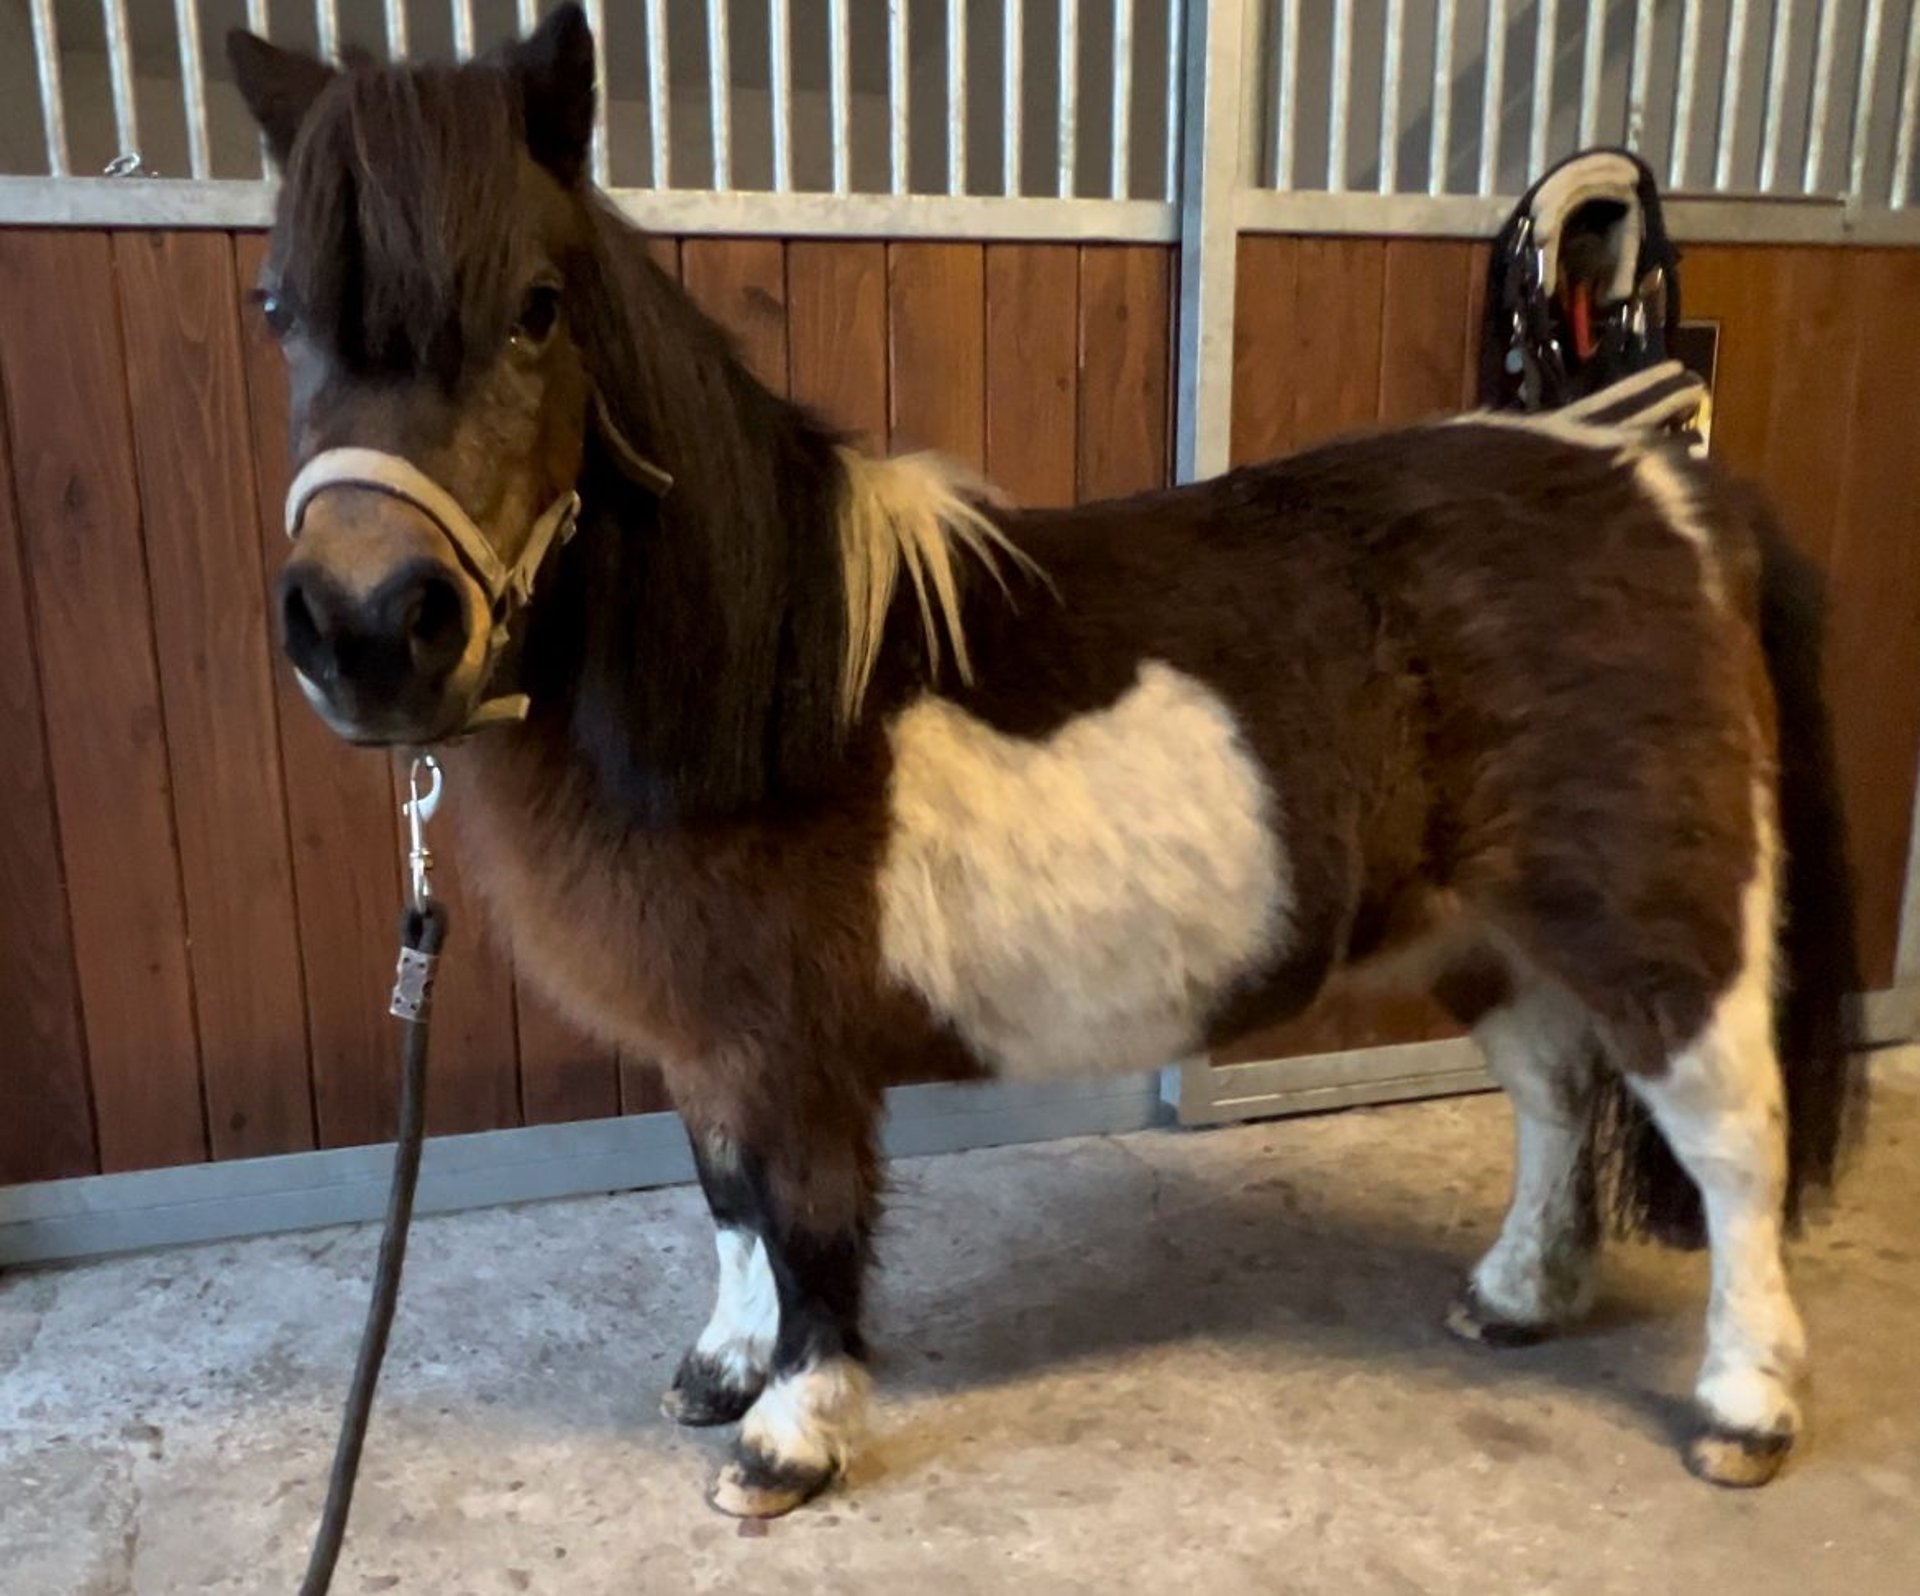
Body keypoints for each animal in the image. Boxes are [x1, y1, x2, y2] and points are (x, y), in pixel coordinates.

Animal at [228, 6, 1863, 1519]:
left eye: (538, 309)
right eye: (277, 309)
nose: (367, 627)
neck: (763, 679)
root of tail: (1672, 493)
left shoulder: (792, 1049)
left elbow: (805, 1219)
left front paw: (788, 1436)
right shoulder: (709, 1042)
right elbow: (729, 1200)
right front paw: (722, 1367)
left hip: (1659, 938)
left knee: (1733, 1147)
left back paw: (1744, 1413)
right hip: (1486, 934)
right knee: (1555, 1094)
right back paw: (1516, 1298)